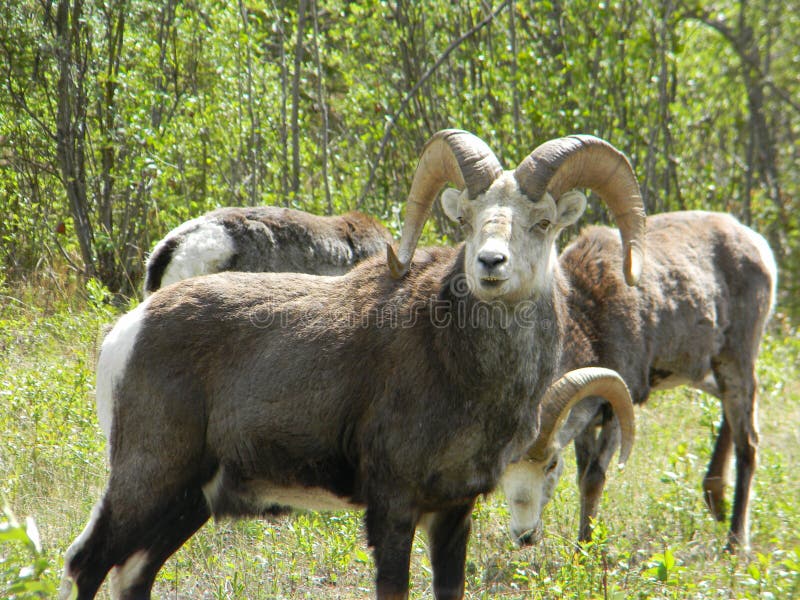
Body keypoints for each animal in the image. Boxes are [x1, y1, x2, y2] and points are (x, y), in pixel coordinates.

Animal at [500, 209, 777, 552]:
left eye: (551, 464)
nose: (525, 535)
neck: (592, 319)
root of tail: (755, 242)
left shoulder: (619, 405)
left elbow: (593, 479)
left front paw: (585, 552)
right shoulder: (586, 423)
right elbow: (582, 475)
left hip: (736, 361)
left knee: (748, 444)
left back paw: (735, 544)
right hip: (704, 373)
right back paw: (716, 501)